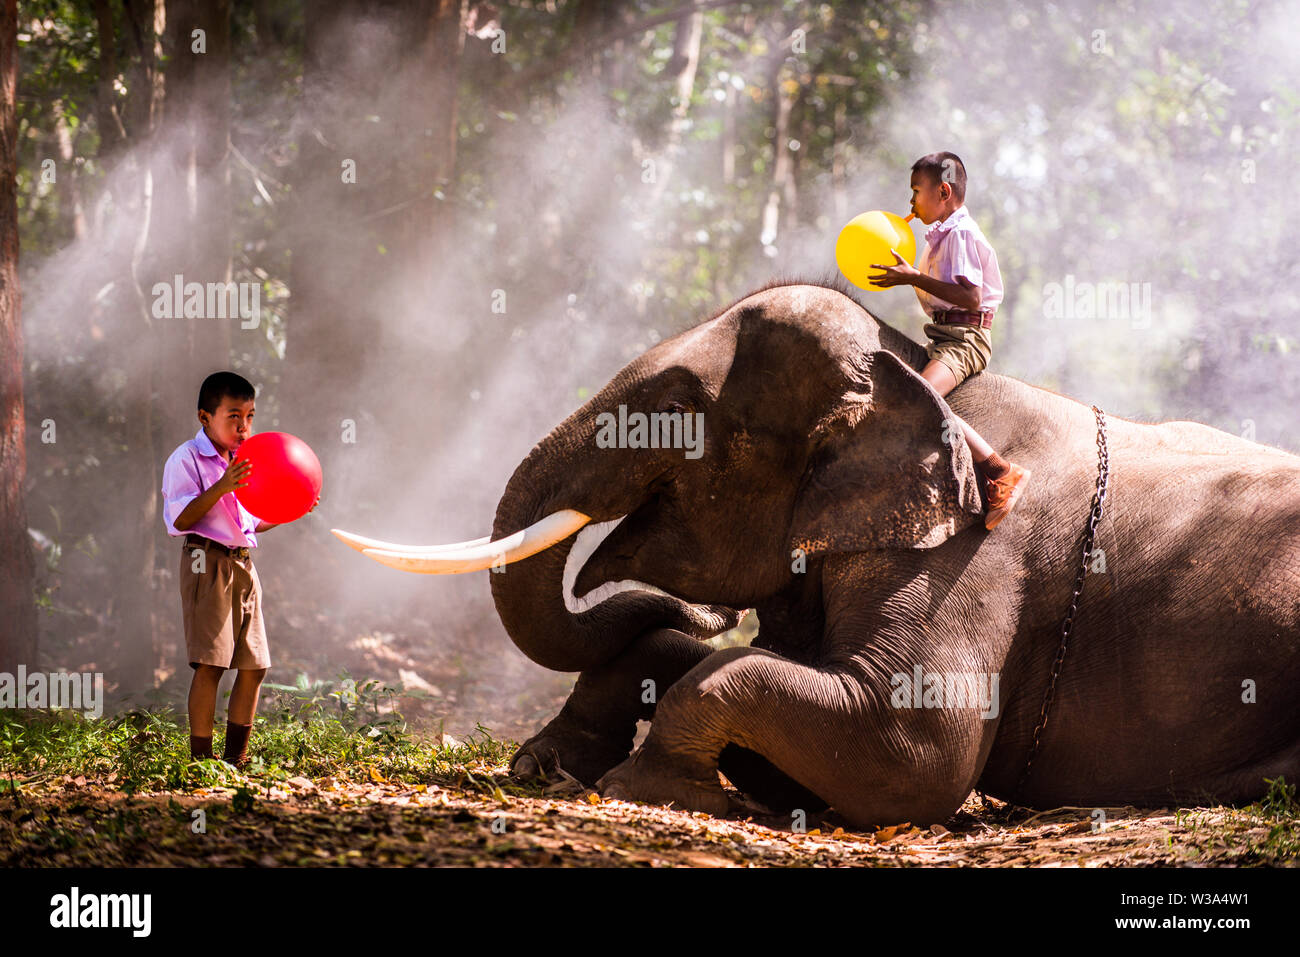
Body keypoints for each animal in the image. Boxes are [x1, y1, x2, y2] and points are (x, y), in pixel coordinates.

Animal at [333, 278, 1300, 829]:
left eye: (683, 409)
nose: (708, 605)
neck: (914, 375)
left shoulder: (969, 560)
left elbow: (917, 750)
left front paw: (651, 785)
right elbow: (733, 664)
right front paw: (549, 761)